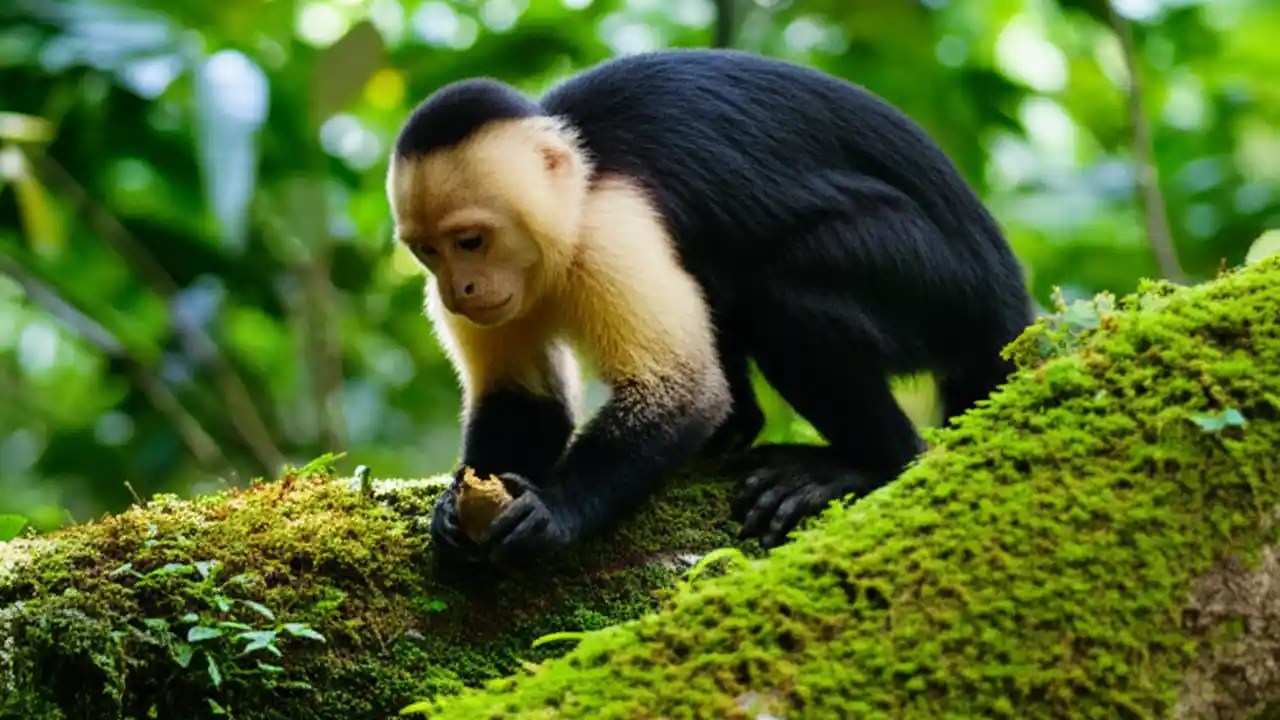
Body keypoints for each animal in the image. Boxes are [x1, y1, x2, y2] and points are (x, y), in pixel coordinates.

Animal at [385, 48, 1034, 566]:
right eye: (429, 252)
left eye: (472, 241)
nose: (460, 292)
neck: (572, 208)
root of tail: (1007, 297)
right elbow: (524, 402)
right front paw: (455, 510)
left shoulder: (609, 229)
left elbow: (682, 391)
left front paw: (553, 510)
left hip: (938, 282)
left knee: (784, 292)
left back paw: (869, 464)